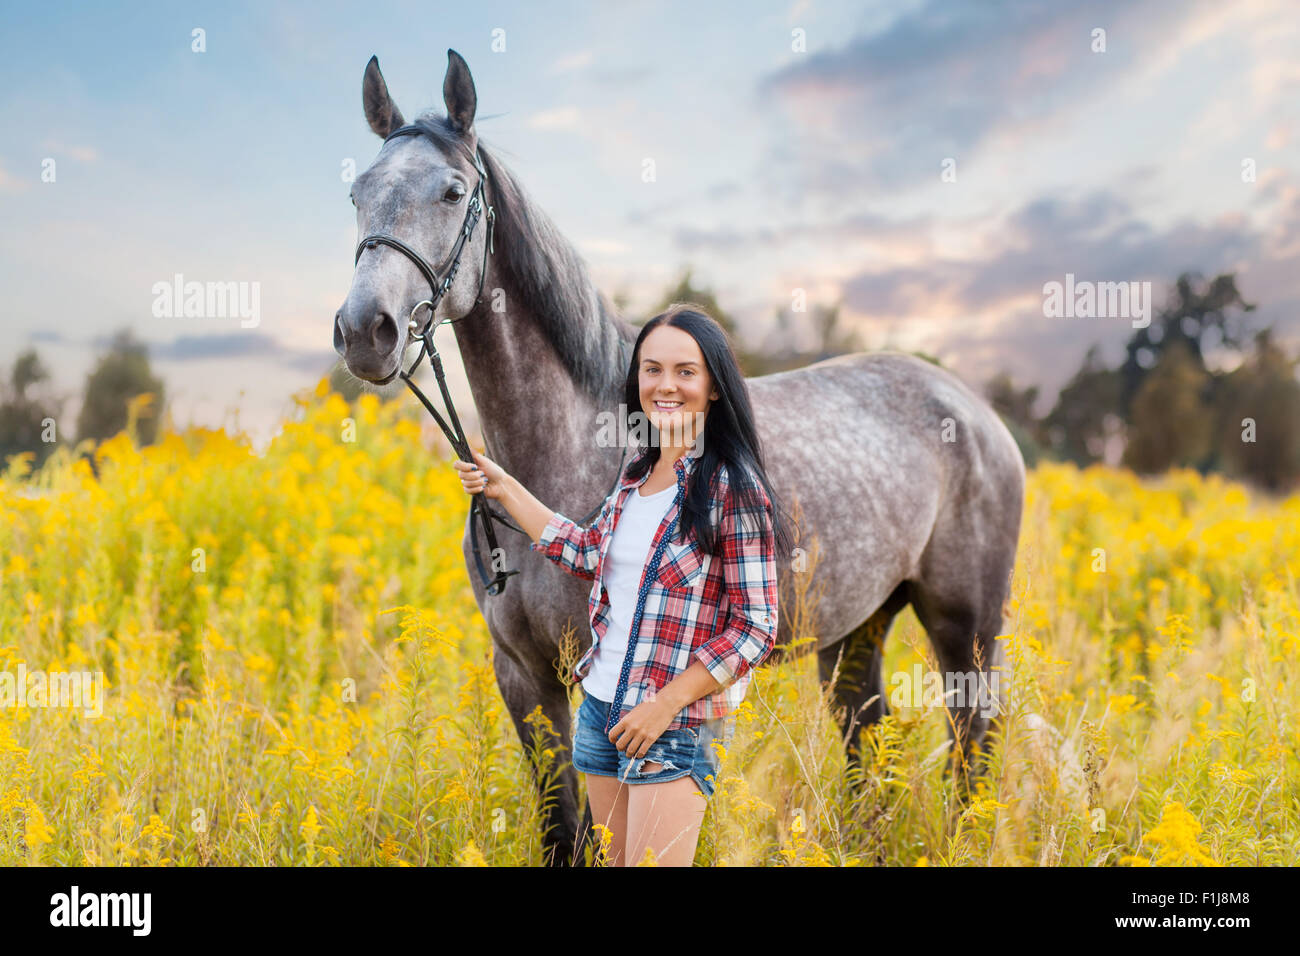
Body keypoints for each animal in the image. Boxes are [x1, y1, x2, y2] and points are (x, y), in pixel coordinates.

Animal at [334, 50, 1026, 866]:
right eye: (358, 193)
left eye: (452, 191)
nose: (365, 330)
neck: (572, 450)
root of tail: (972, 409)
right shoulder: (525, 677)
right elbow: (561, 829)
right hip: (859, 630)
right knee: (868, 744)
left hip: (966, 625)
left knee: (973, 745)